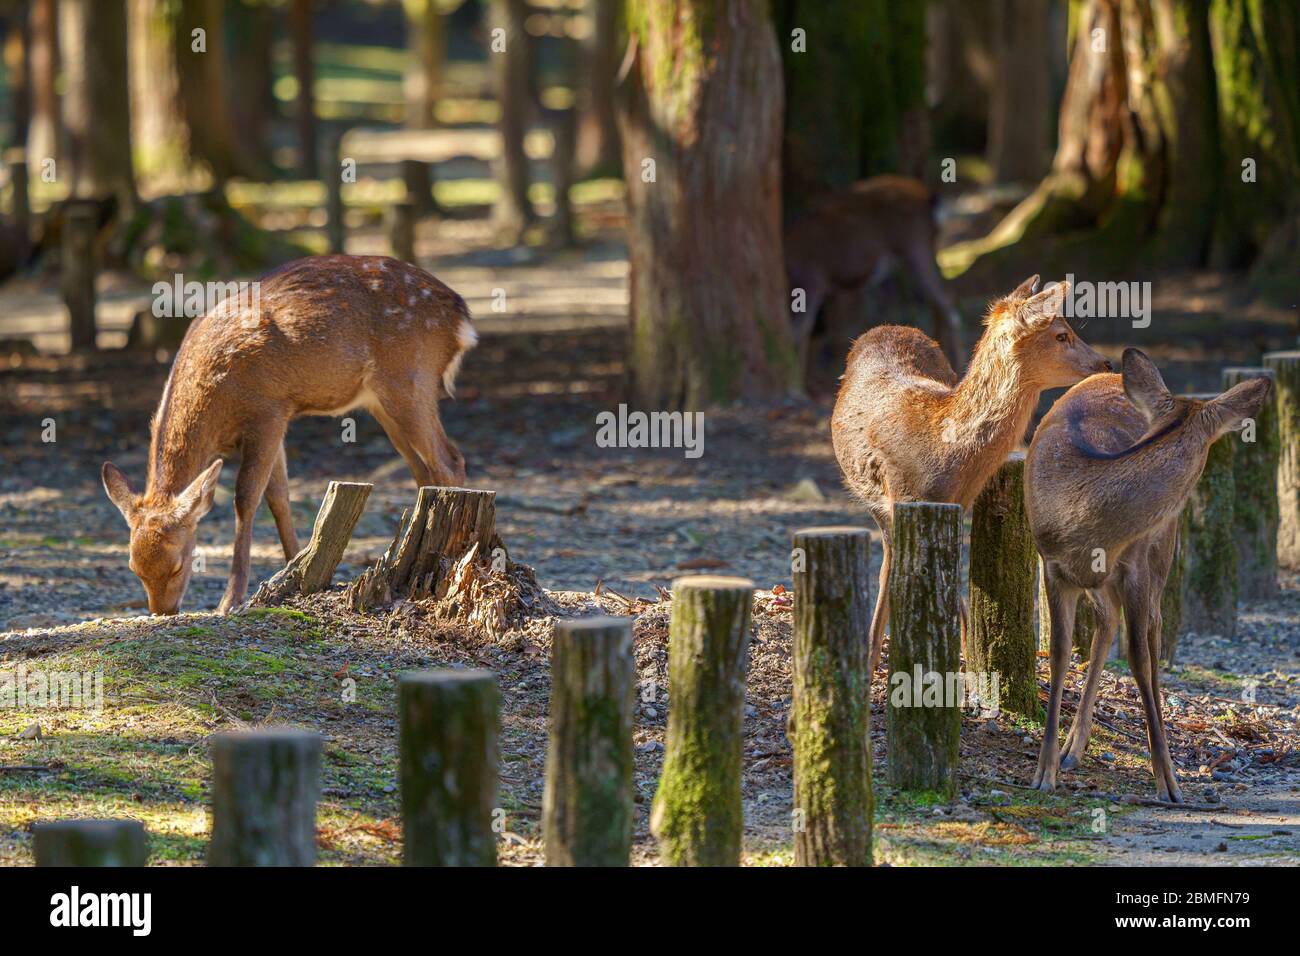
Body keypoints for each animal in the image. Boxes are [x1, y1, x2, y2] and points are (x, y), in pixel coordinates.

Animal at [101, 255, 477, 616]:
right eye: (134, 568)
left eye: (179, 565)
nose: (162, 612)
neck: (216, 401)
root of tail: (462, 317)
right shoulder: (278, 419)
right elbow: (279, 497)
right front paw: (296, 567)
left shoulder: (269, 409)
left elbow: (246, 496)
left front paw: (230, 600)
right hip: (382, 402)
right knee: (424, 471)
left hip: (411, 378)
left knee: (449, 460)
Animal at [785, 175, 966, 377]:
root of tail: (929, 200)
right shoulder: (838, 288)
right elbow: (833, 330)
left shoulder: (815, 281)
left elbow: (805, 331)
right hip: (919, 253)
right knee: (941, 296)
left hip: (915, 247)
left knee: (945, 300)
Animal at [832, 275, 1112, 673]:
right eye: (1061, 334)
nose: (1105, 361)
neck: (941, 448)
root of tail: (889, 325)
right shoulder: (899, 495)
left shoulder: (956, 503)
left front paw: (966, 661)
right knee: (886, 562)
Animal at [1025, 349, 1271, 802]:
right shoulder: (1051, 565)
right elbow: (1060, 653)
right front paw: (1043, 772)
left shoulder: (1135, 566)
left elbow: (1140, 661)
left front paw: (1169, 781)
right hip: (1104, 580)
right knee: (1107, 622)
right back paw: (1072, 749)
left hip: (1161, 550)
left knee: (1153, 634)